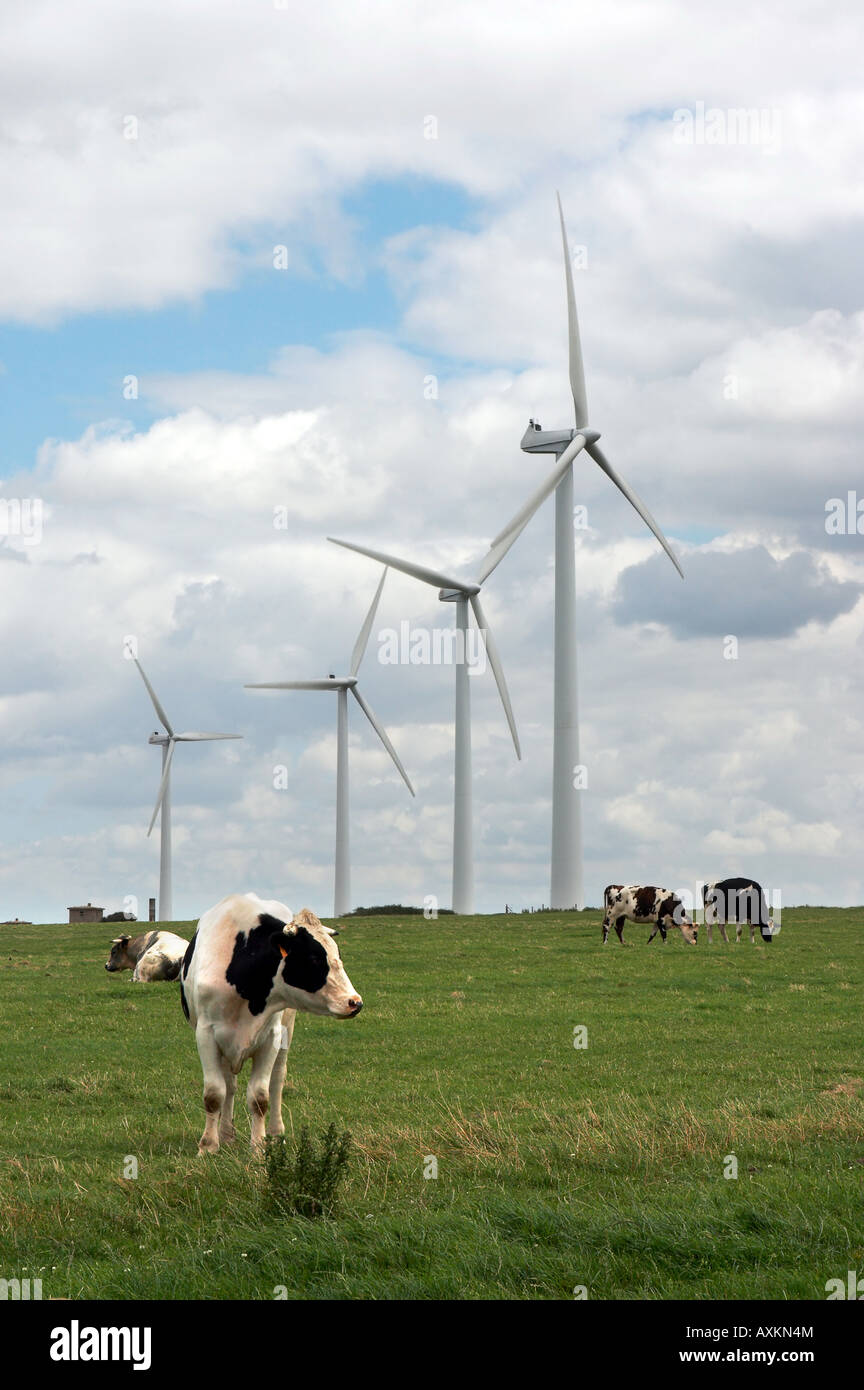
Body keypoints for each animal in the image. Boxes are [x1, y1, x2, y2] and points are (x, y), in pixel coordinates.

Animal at [179, 893, 362, 1154]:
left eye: (338, 955)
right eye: (314, 958)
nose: (355, 1002)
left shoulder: (271, 1037)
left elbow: (259, 1096)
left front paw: (258, 1147)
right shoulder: (206, 1035)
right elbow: (215, 1094)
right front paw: (208, 1146)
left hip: (286, 1032)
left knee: (277, 1081)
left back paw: (275, 1134)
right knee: (230, 1085)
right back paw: (226, 1134)